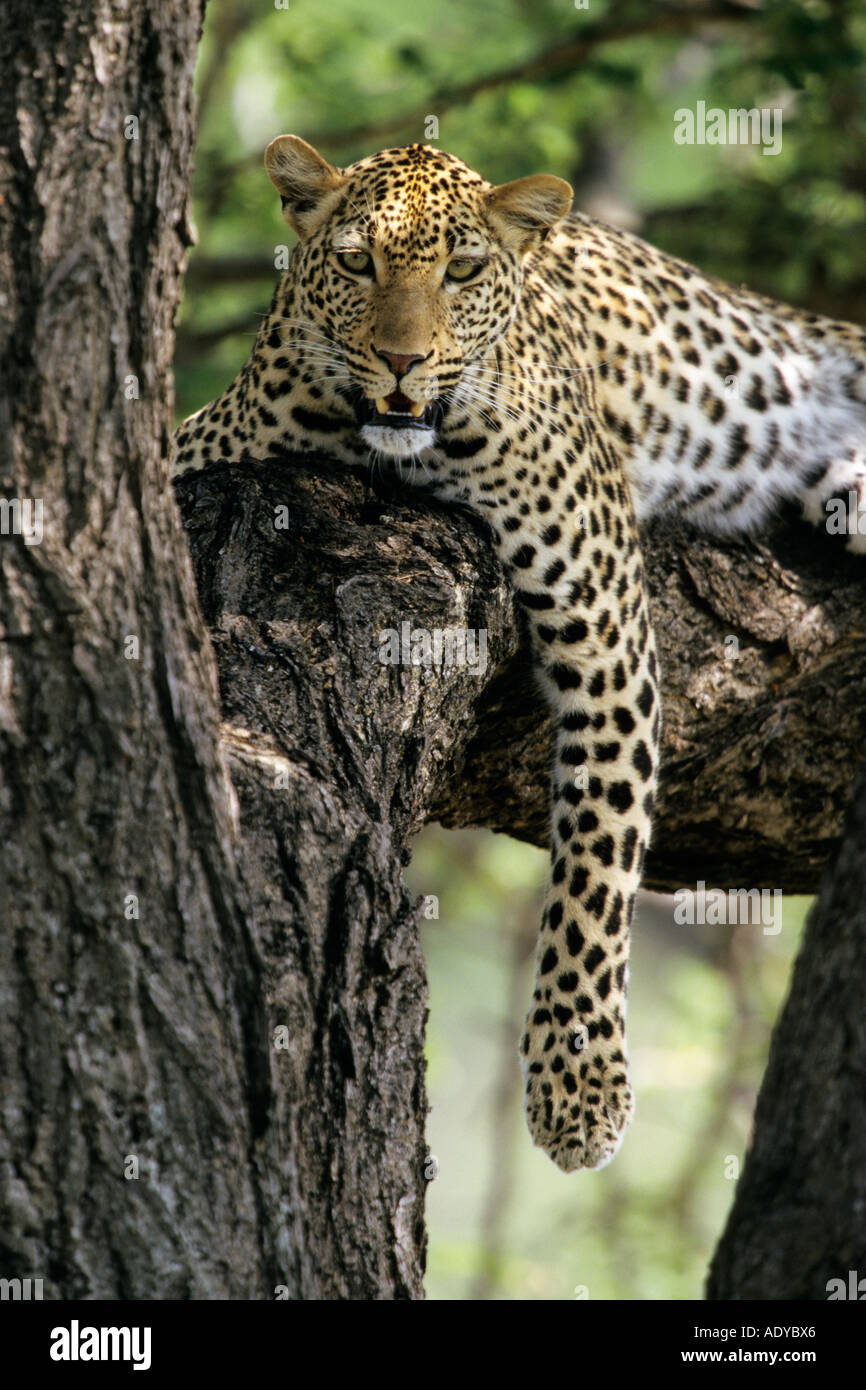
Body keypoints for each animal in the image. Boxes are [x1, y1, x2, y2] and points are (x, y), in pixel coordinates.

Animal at [172, 135, 866, 1174]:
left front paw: (580, 1087)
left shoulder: (606, 615)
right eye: (356, 263)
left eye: (462, 271)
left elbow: (596, 865)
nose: (401, 360)